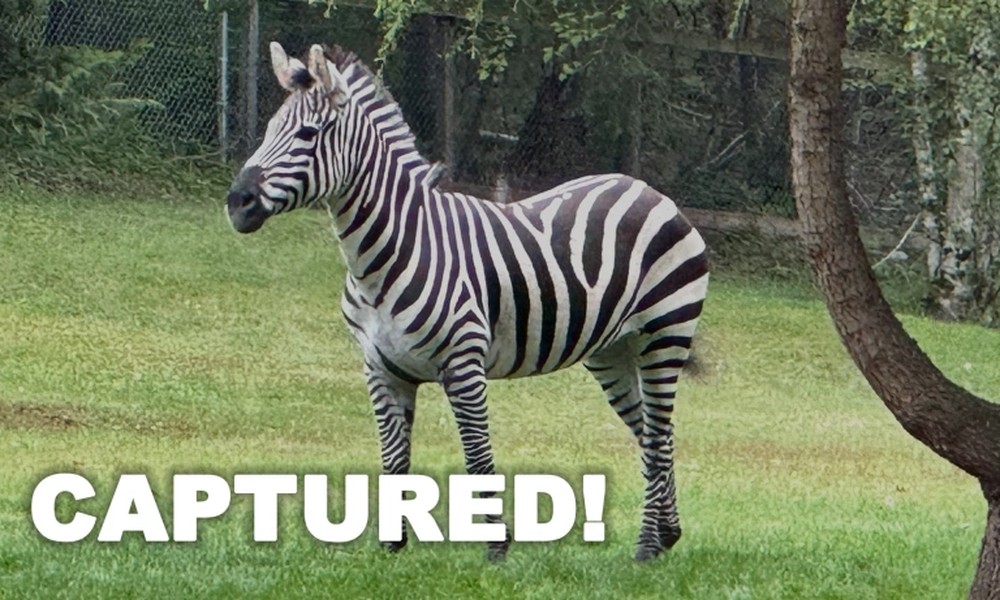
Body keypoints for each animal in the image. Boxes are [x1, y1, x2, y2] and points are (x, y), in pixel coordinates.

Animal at [226, 42, 709, 562]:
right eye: (269, 131)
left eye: (307, 134)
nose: (236, 203)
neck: (386, 255)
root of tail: (647, 189)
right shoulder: (380, 369)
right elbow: (393, 459)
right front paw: (392, 548)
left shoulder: (462, 363)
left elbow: (477, 456)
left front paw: (497, 549)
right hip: (612, 350)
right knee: (652, 434)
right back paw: (666, 536)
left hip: (664, 334)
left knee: (657, 435)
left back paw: (645, 548)